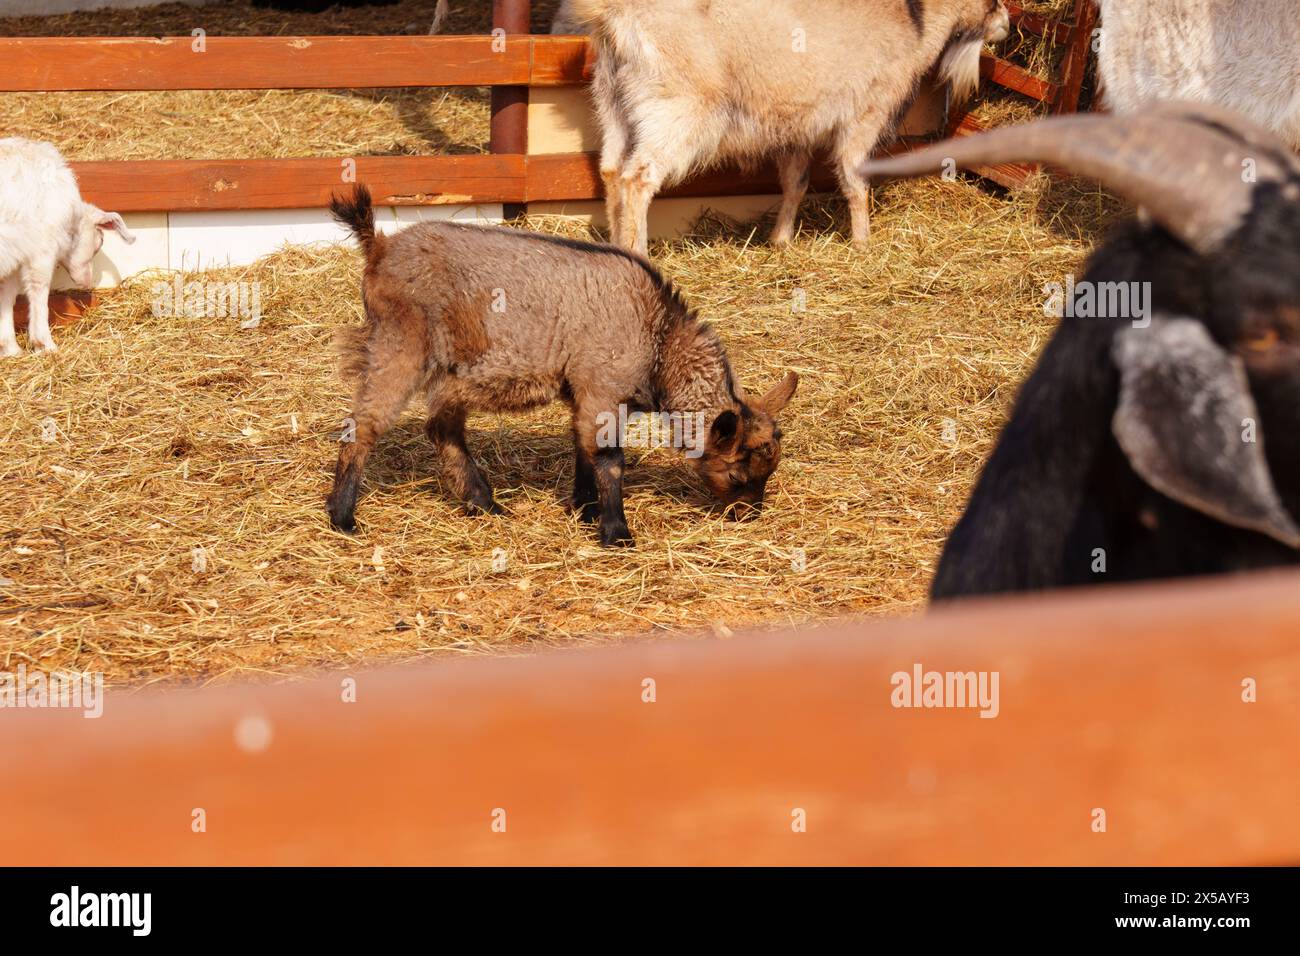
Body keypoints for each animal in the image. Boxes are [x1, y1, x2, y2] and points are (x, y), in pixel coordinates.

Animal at [0, 138, 135, 357]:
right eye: (100, 242)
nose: (88, 281)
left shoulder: (17, 252)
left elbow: (6, 295)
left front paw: (10, 348)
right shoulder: (40, 251)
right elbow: (38, 291)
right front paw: (45, 344)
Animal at [326, 184, 798, 547]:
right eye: (737, 474)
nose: (748, 515)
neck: (659, 335)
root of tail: (380, 246)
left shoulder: (584, 392)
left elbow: (582, 448)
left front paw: (585, 510)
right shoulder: (602, 387)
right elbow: (608, 458)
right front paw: (615, 531)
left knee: (443, 428)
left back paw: (484, 503)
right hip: (400, 343)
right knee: (364, 423)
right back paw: (343, 517)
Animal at [571, 0, 1010, 255]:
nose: (1006, 22)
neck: (913, 18)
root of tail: (616, 16)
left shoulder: (796, 123)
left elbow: (795, 181)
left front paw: (780, 239)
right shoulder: (865, 111)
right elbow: (855, 179)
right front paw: (862, 242)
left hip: (613, 103)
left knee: (611, 171)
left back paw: (617, 247)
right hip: (675, 110)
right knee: (638, 179)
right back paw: (639, 253)